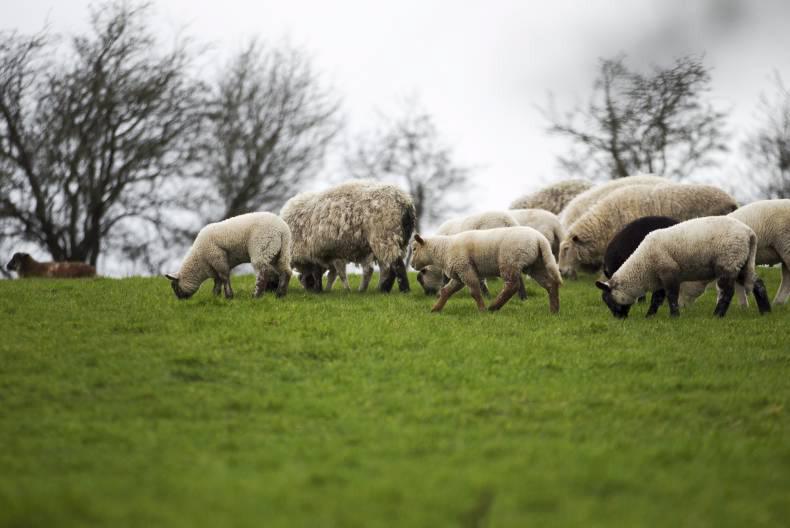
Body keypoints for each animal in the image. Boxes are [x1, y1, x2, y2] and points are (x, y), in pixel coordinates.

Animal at [280, 180, 415, 293]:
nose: (309, 290)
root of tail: (405, 201)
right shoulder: (327, 252)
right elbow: (329, 274)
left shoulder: (314, 250)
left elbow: (320, 273)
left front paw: (321, 290)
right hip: (398, 240)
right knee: (388, 267)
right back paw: (383, 289)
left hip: (385, 236)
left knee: (395, 265)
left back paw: (401, 289)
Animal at [410, 227, 562, 313]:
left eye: (414, 249)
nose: (411, 265)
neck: (443, 249)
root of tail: (540, 239)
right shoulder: (459, 275)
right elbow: (446, 291)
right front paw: (435, 309)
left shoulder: (465, 269)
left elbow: (475, 292)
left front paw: (482, 310)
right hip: (535, 264)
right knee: (550, 284)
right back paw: (554, 310)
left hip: (510, 261)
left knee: (512, 286)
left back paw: (493, 307)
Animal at [595, 216, 771, 318]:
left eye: (608, 300)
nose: (619, 319)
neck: (643, 267)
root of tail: (749, 234)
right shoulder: (660, 276)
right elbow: (657, 298)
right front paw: (650, 316)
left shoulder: (668, 271)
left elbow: (671, 296)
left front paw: (674, 316)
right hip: (742, 261)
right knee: (758, 284)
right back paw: (766, 312)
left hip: (728, 261)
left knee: (727, 291)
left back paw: (717, 315)